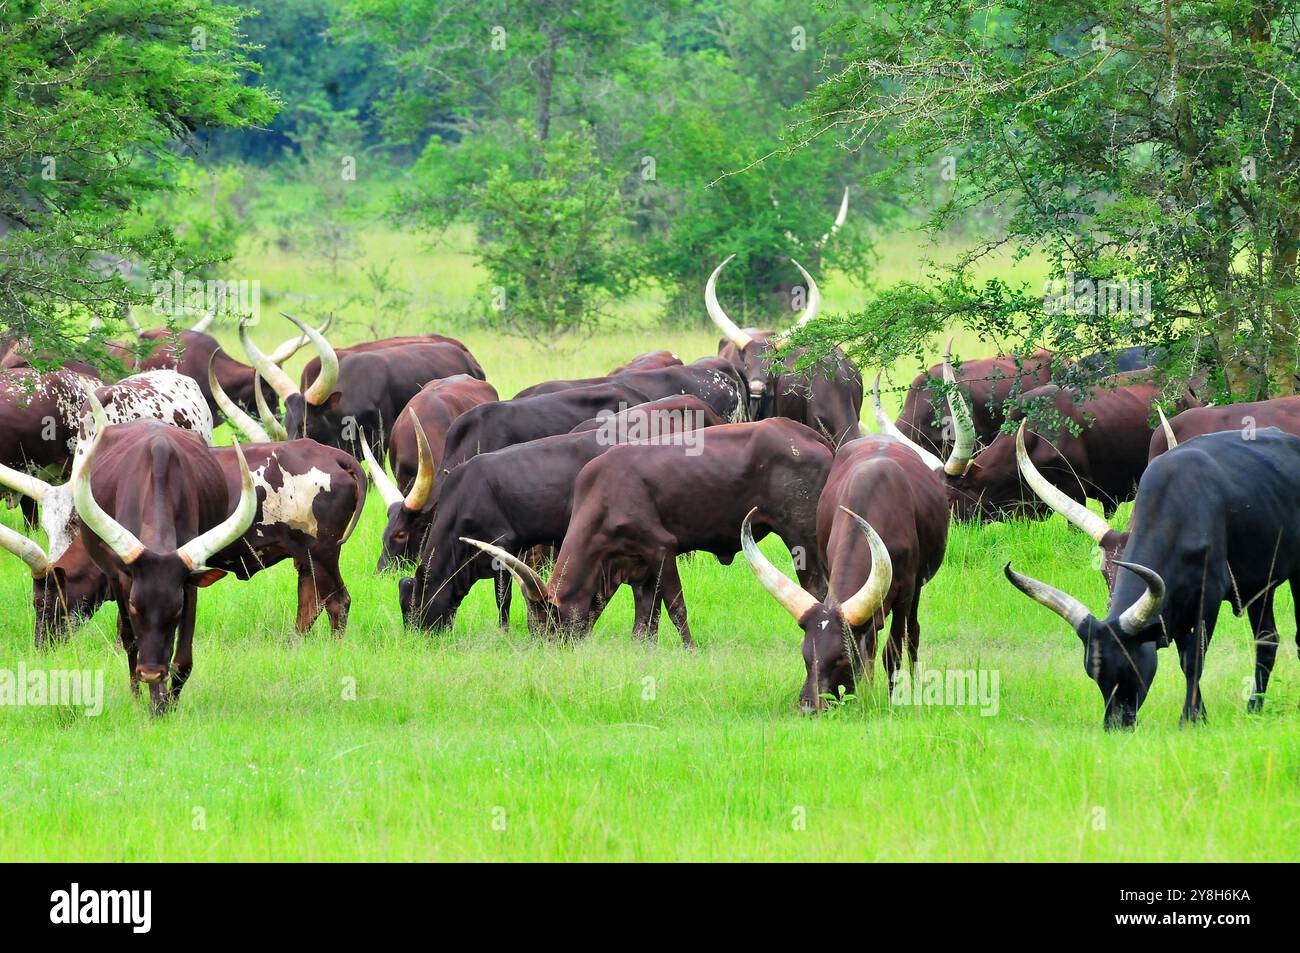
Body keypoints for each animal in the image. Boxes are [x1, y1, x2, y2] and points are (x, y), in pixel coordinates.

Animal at [71, 396, 257, 712]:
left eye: (177, 608)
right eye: (136, 606)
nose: (151, 672)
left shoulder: (190, 584)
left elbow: (182, 660)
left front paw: (166, 704)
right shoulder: (126, 582)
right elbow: (133, 639)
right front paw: (153, 701)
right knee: (127, 638)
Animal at [456, 418, 835, 643]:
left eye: (550, 626)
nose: (550, 649)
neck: (602, 496)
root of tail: (804, 434)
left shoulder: (661, 550)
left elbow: (675, 609)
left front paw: (690, 649)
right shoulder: (638, 567)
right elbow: (646, 621)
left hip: (802, 538)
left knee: (816, 587)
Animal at [741, 433, 949, 712]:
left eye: (841, 657)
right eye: (806, 654)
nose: (809, 706)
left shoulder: (905, 593)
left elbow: (892, 651)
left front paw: (892, 700)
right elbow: (870, 647)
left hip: (917, 588)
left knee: (912, 632)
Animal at [1005, 427, 1300, 727]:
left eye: (1131, 668)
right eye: (1093, 674)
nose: (1116, 725)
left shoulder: (1208, 598)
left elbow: (1193, 660)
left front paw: (1188, 719)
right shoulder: (1174, 608)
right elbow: (1185, 656)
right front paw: (1200, 715)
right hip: (1259, 585)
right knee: (1267, 638)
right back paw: (1255, 707)